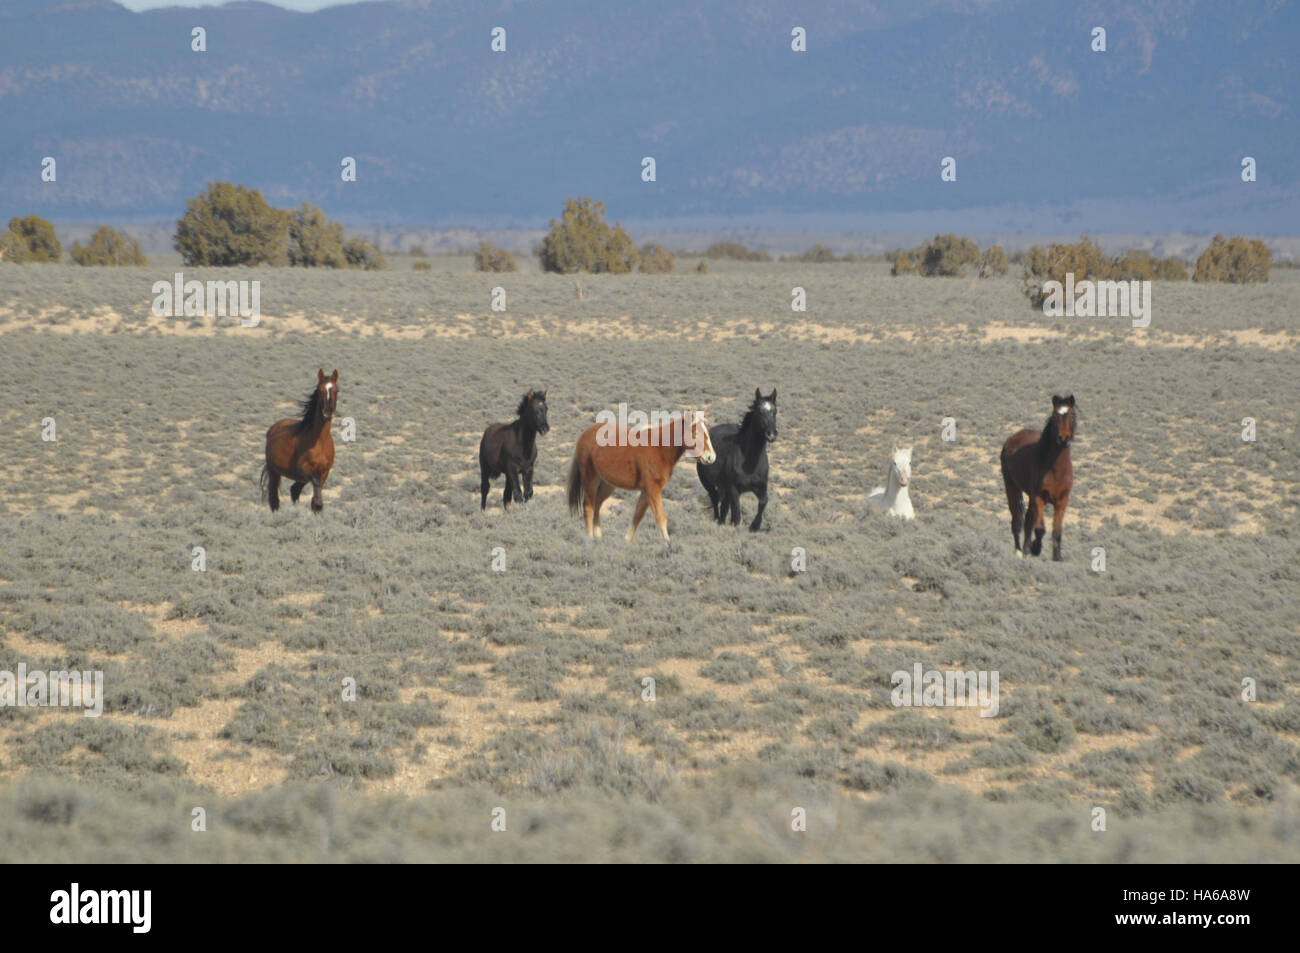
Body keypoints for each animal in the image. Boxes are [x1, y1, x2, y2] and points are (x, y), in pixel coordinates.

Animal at [261, 368, 338, 514]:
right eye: (320, 390)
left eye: (336, 390)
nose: (327, 412)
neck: (319, 441)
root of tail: (273, 428)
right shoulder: (305, 469)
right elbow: (316, 487)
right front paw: (318, 503)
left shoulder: (325, 471)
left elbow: (315, 498)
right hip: (274, 471)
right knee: (274, 499)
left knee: (294, 490)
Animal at [566, 410, 716, 542]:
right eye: (695, 432)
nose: (711, 457)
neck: (659, 448)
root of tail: (585, 434)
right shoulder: (652, 489)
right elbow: (660, 517)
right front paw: (668, 544)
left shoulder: (646, 491)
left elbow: (637, 516)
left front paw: (627, 542)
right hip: (590, 479)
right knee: (588, 507)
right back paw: (590, 540)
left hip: (607, 485)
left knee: (597, 505)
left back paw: (599, 537)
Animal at [696, 388, 777, 531]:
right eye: (759, 412)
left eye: (775, 411)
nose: (771, 435)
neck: (750, 462)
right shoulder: (734, 490)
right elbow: (737, 514)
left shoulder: (761, 488)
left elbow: (763, 502)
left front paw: (754, 526)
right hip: (708, 483)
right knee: (715, 499)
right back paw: (717, 521)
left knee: (724, 505)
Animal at [1000, 394, 1077, 560]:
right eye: (1055, 417)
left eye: (1072, 416)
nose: (1063, 439)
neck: (1055, 469)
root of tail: (1012, 438)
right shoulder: (1039, 497)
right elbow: (1040, 528)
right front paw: (1035, 548)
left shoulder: (1062, 501)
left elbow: (1057, 531)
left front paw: (1057, 557)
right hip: (1011, 487)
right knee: (1017, 519)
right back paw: (1019, 550)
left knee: (1028, 519)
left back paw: (1025, 548)